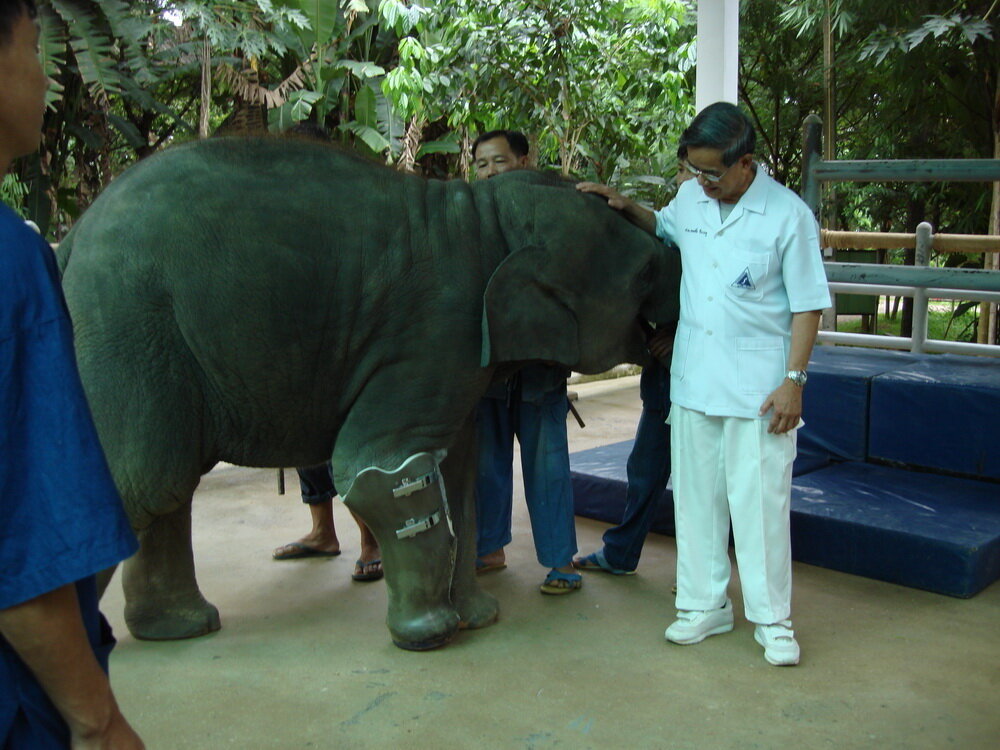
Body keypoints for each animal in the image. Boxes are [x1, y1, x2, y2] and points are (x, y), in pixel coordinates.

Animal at [56, 136, 680, 650]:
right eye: (647, 274)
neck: (484, 217)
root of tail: (71, 239)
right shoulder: (434, 330)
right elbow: (374, 466)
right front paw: (431, 636)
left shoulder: (451, 358)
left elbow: (460, 476)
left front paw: (479, 618)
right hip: (129, 325)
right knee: (143, 478)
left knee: (162, 485)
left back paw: (178, 628)